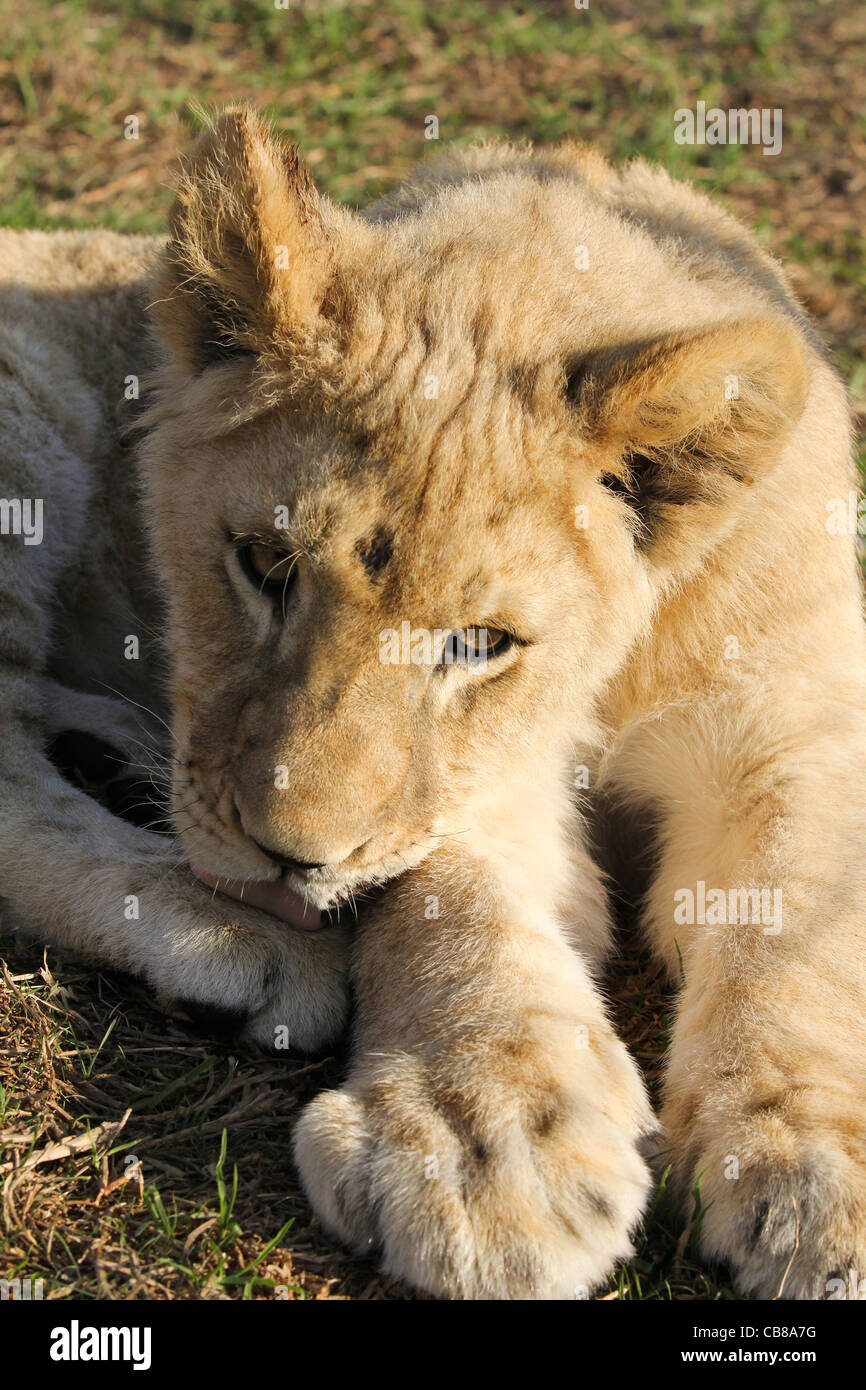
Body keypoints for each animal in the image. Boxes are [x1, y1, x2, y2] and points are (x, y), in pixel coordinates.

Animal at [1, 106, 865, 1301]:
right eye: (262, 563)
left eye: (480, 643)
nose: (289, 858)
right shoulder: (471, 791)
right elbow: (455, 901)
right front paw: (481, 1143)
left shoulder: (793, 719)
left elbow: (798, 920)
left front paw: (810, 1172)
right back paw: (233, 940)